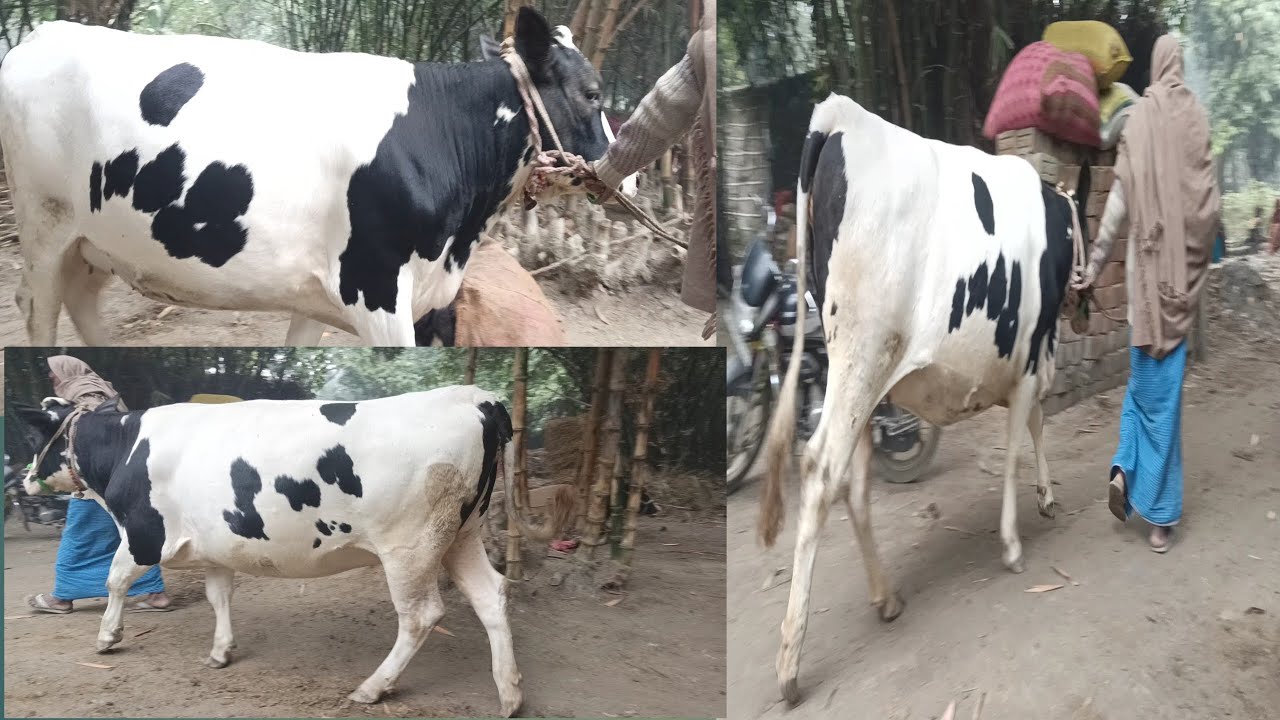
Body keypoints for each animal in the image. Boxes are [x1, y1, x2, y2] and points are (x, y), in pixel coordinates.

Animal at [0, 8, 631, 347]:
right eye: (593, 93)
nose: (625, 178)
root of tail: (44, 33)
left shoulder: (327, 292)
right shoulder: (377, 289)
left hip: (95, 241)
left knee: (81, 299)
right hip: (44, 224)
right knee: (39, 305)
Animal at [13, 386, 574, 717]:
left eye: (34, 436)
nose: (23, 480)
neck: (126, 449)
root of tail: (474, 396)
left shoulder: (143, 533)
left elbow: (114, 579)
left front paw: (107, 638)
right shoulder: (216, 546)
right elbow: (219, 596)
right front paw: (221, 651)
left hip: (410, 544)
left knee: (421, 615)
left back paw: (373, 687)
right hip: (461, 533)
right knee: (491, 596)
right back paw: (509, 692)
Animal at [758, 94, 1090, 703]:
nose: (1085, 301)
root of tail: (840, 113)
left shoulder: (1029, 358)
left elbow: (1033, 424)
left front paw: (1046, 496)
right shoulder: (1031, 353)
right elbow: (1019, 438)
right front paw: (1012, 541)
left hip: (862, 375)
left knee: (853, 483)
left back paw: (885, 597)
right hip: (862, 353)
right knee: (821, 470)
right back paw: (790, 664)